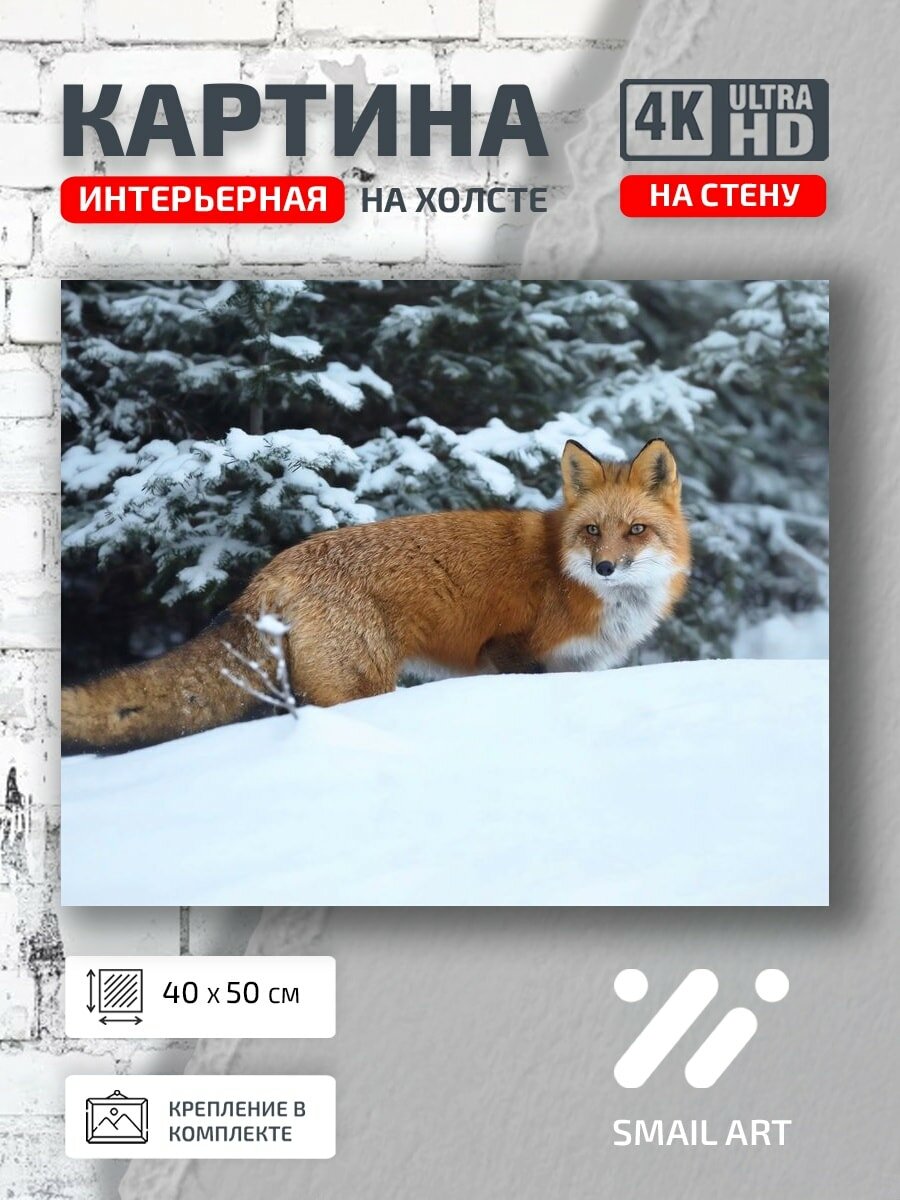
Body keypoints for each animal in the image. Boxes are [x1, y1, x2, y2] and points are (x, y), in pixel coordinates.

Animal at [62, 437, 690, 753]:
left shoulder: (574, 669)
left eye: (636, 530)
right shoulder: (506, 651)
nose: (605, 567)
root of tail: (269, 572)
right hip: (361, 683)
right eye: (592, 531)